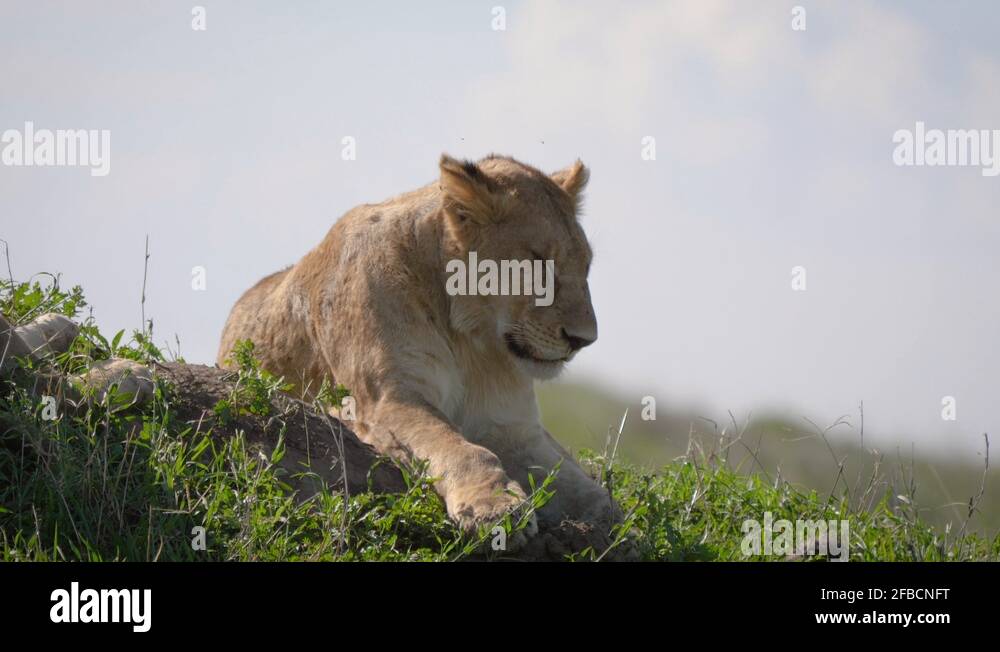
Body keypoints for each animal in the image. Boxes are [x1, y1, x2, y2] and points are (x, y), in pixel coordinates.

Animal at [218, 154, 621, 547]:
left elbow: (585, 489)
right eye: (539, 263)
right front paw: (495, 510)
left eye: (585, 265)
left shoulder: (510, 427)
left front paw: (616, 531)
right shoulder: (388, 399)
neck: (469, 336)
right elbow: (457, 447)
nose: (584, 338)